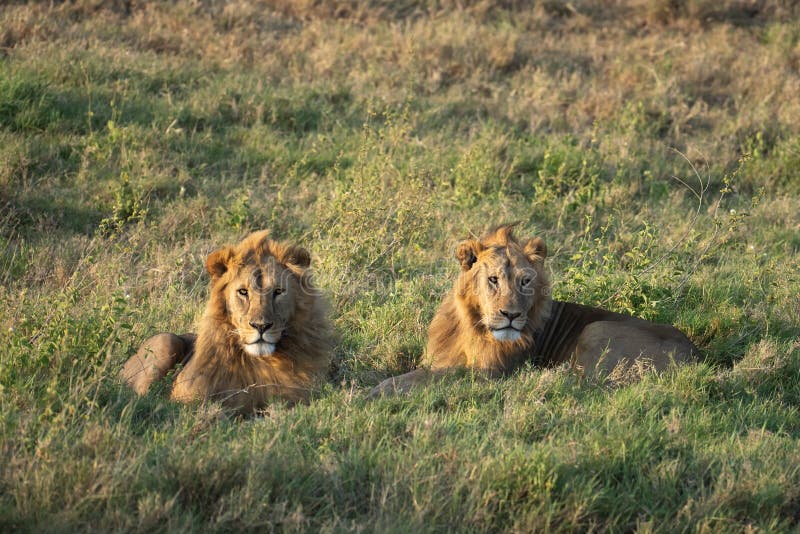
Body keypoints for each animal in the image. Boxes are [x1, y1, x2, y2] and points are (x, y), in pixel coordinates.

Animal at [121, 230, 333, 414]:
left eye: (278, 291)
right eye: (243, 292)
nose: (261, 326)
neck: (259, 363)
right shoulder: (186, 397)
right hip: (165, 341)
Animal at [370, 224, 697, 397]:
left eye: (525, 281)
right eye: (493, 279)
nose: (511, 316)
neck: (472, 327)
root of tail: (697, 355)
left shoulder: (489, 374)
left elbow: (432, 377)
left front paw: (379, 389)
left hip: (596, 330)